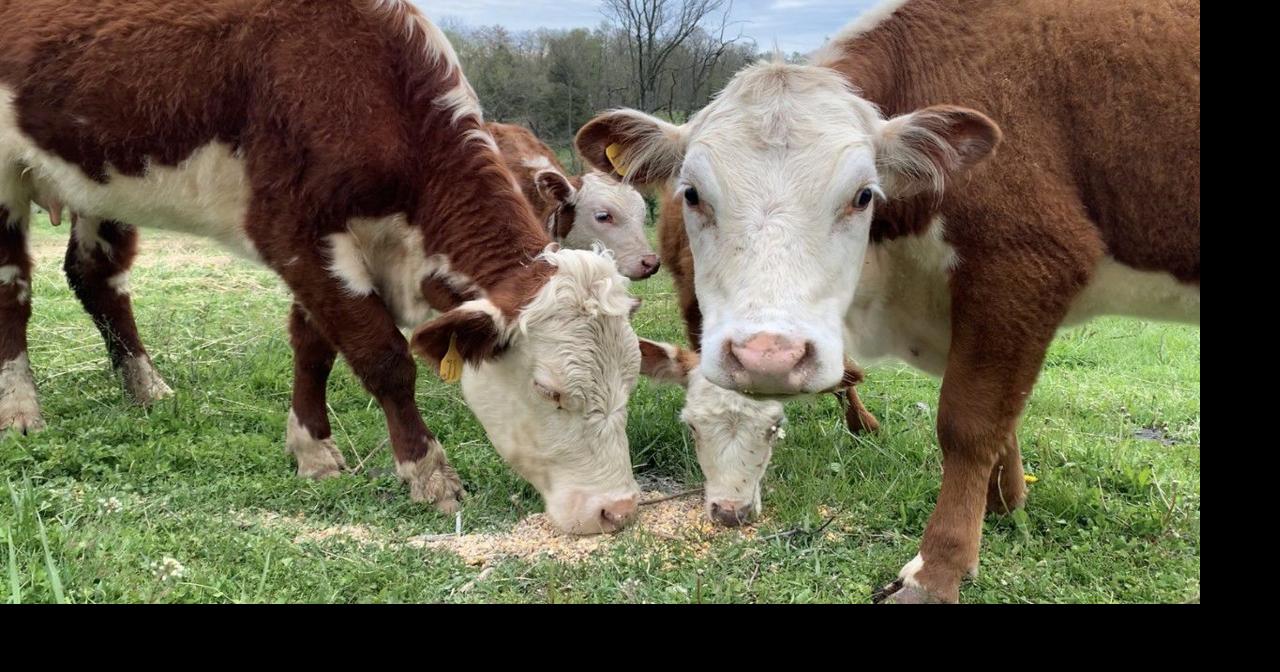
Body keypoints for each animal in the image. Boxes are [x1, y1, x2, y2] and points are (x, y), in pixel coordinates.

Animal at [577, 0, 1200, 600]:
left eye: (863, 195)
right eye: (691, 193)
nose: (766, 357)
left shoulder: (1026, 266)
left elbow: (970, 424)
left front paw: (940, 568)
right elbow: (1003, 416)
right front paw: (1005, 503)